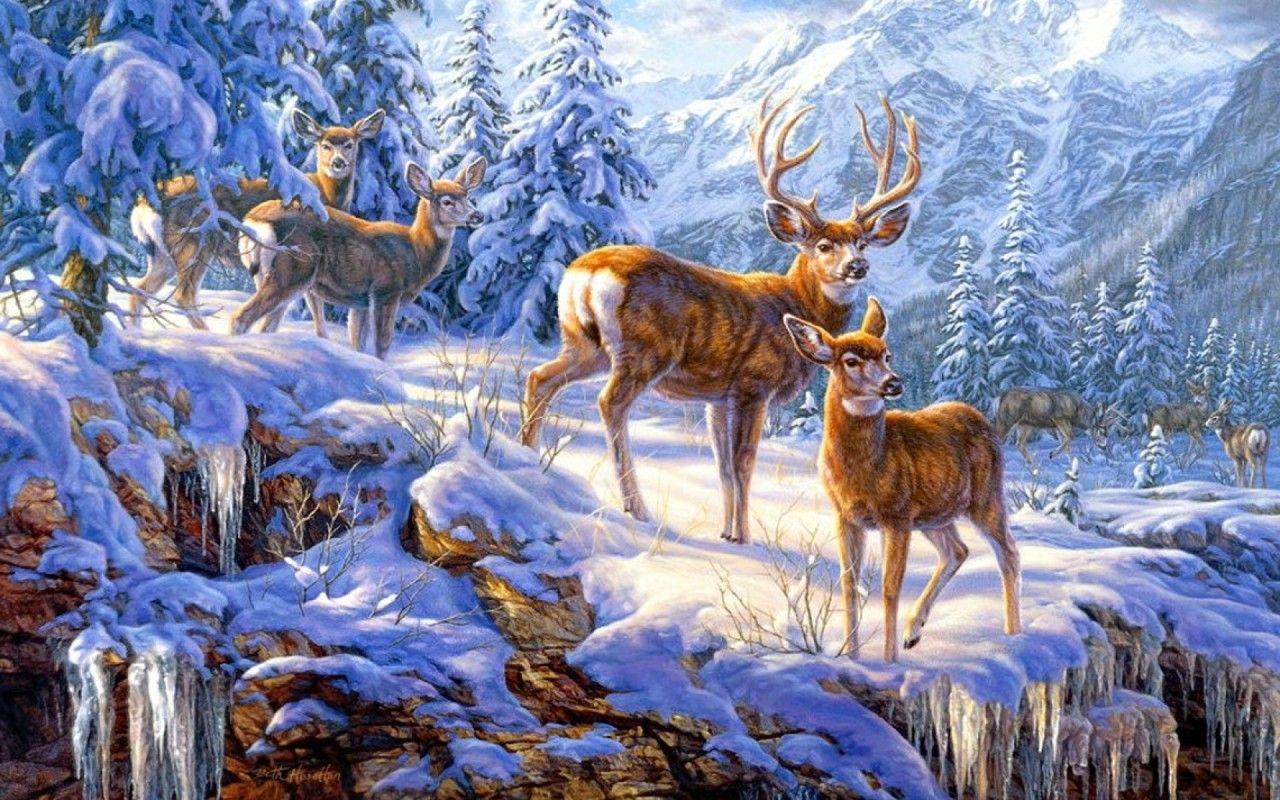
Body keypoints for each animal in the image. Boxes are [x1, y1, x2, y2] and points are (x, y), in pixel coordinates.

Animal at [129, 109, 385, 331]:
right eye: (325, 145)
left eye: (350, 144)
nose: (338, 162)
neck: (325, 194)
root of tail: (143, 205)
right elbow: (315, 316)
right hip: (194, 243)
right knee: (184, 294)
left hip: (163, 253)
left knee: (139, 291)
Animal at [230, 158, 486, 359]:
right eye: (447, 201)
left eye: (468, 196)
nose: (478, 215)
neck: (415, 250)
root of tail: (253, 221)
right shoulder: (385, 291)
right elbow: (382, 344)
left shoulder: (360, 301)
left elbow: (357, 342)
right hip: (293, 270)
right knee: (241, 317)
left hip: (270, 276)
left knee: (266, 325)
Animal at [520, 90, 920, 544]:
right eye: (822, 245)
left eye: (862, 243)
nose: (857, 266)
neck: (797, 306)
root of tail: (583, 275)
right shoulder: (753, 384)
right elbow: (744, 462)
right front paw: (743, 536)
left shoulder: (717, 397)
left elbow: (723, 465)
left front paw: (726, 532)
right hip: (643, 350)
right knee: (609, 403)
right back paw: (636, 508)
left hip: (583, 343)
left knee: (540, 378)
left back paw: (528, 456)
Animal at [783, 298, 1022, 662]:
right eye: (850, 360)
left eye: (887, 354)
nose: (893, 383)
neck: (863, 470)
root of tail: (980, 416)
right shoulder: (846, 517)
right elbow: (849, 585)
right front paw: (852, 656)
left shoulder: (895, 515)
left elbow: (889, 587)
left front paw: (889, 660)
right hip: (933, 515)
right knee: (958, 550)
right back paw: (914, 632)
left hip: (985, 497)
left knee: (1008, 552)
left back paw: (1013, 634)